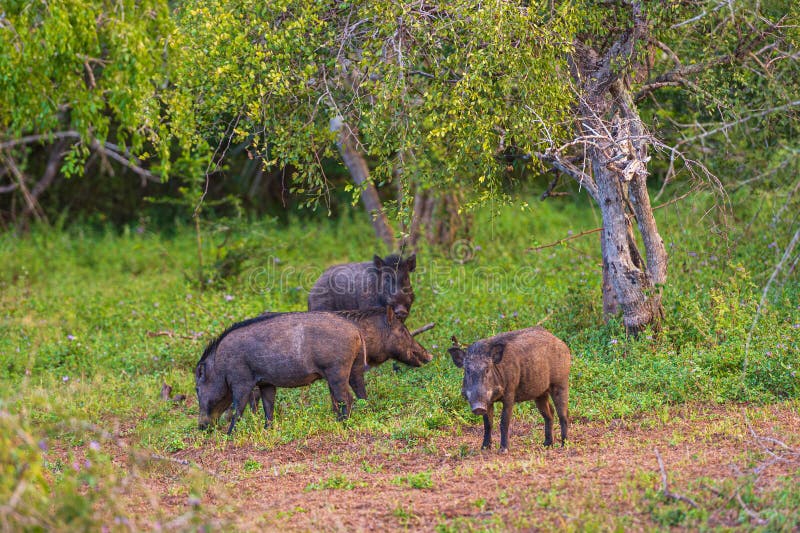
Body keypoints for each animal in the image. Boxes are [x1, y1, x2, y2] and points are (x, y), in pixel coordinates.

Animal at [195, 312, 366, 434]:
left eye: (196, 389)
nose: (201, 427)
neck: (219, 366)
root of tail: (356, 330)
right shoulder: (266, 383)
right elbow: (268, 407)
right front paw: (267, 430)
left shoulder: (241, 382)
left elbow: (239, 408)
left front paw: (229, 435)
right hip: (351, 370)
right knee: (355, 394)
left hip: (337, 372)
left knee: (347, 398)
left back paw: (343, 425)